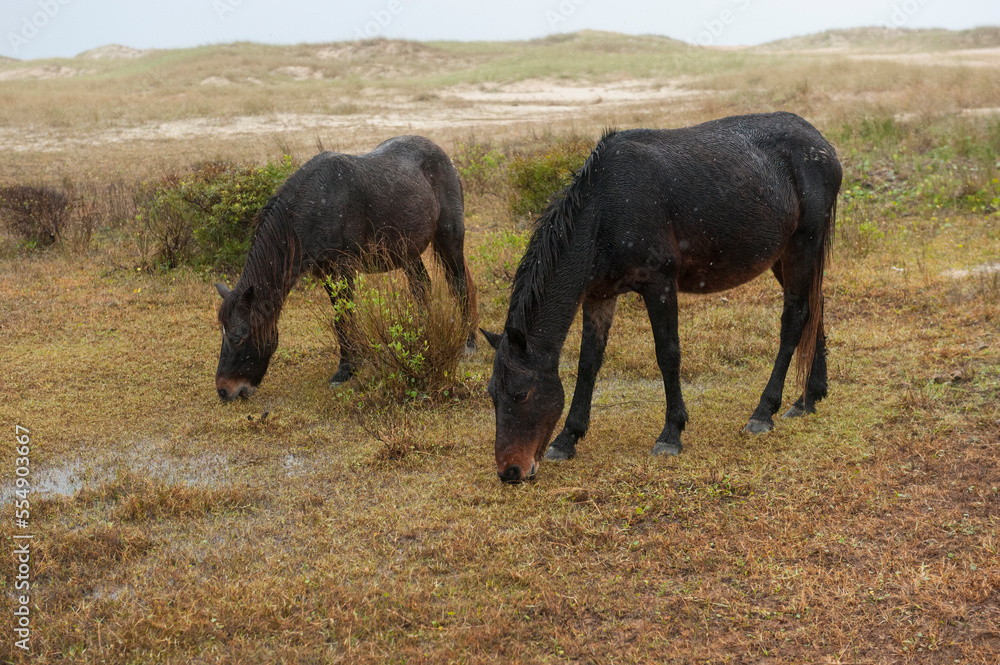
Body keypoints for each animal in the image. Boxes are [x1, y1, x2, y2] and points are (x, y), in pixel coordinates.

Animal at [215, 135, 478, 401]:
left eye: (237, 337)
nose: (224, 390)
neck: (315, 204)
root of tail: (442, 155)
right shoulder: (325, 272)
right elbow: (343, 315)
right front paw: (356, 361)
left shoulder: (344, 267)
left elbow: (343, 317)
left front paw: (345, 370)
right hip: (408, 252)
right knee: (422, 286)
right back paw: (422, 335)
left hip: (449, 239)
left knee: (460, 286)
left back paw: (470, 343)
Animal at [483, 112, 842, 484]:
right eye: (493, 395)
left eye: (521, 393)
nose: (510, 471)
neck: (605, 208)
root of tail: (822, 144)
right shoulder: (599, 295)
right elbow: (588, 362)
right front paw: (568, 438)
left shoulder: (660, 286)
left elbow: (667, 354)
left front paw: (671, 433)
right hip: (782, 256)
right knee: (815, 307)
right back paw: (808, 398)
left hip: (804, 244)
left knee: (795, 317)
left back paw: (764, 411)